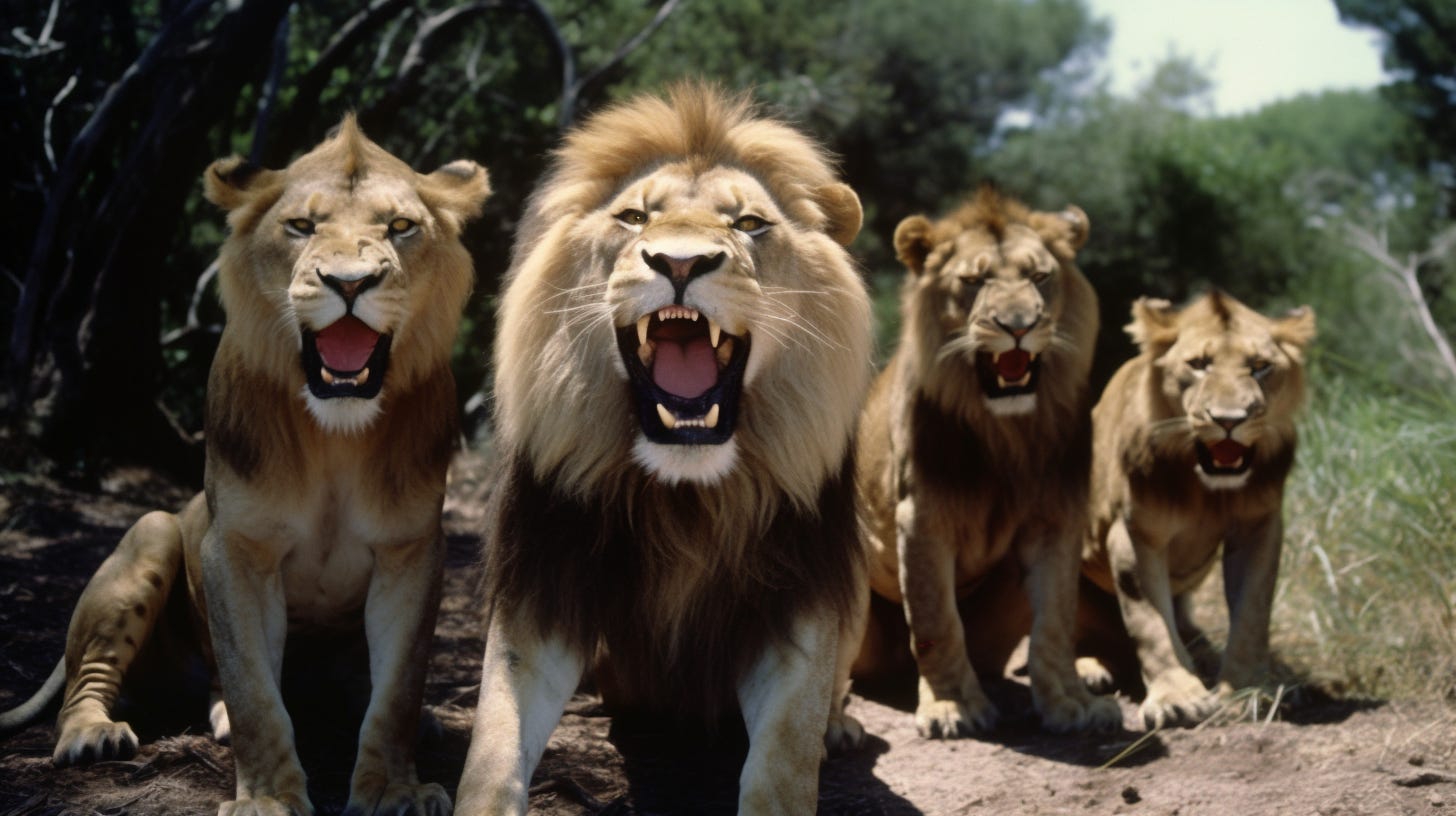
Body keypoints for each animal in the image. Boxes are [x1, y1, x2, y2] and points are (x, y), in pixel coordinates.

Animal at [0, 116, 490, 816]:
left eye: (400, 227)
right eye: (301, 226)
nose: (349, 283)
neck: (336, 433)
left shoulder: (411, 550)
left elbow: (396, 691)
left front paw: (394, 789)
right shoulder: (237, 548)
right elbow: (256, 693)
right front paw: (266, 799)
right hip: (152, 533)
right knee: (95, 681)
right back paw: (96, 735)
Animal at [454, 83, 873, 815]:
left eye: (749, 224)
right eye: (633, 218)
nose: (680, 262)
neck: (687, 496)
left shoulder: (800, 606)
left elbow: (783, 765)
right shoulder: (540, 592)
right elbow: (492, 755)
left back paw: (842, 726)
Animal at [852, 186, 1122, 738]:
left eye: (1039, 277)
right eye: (973, 282)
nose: (1018, 327)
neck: (1006, 431)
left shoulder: (1057, 518)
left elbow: (1055, 621)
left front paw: (1072, 702)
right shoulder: (922, 519)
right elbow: (935, 621)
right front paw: (952, 707)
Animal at [1077, 291, 1315, 729]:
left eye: (1260, 366)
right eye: (1198, 364)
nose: (1229, 420)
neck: (1207, 489)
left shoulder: (1259, 527)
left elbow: (1252, 615)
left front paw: (1246, 692)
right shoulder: (1132, 535)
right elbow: (1151, 624)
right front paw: (1178, 697)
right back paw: (1089, 669)